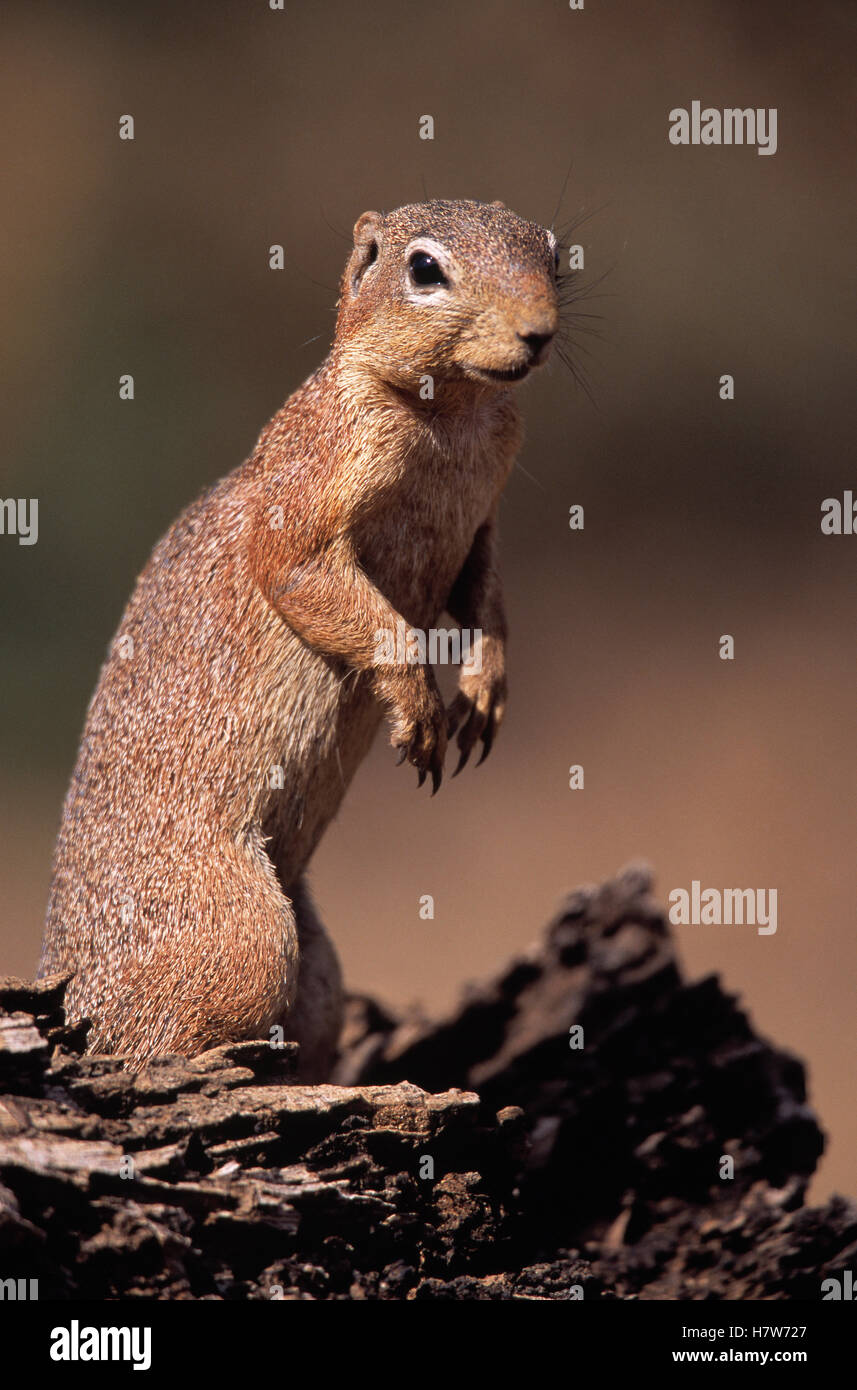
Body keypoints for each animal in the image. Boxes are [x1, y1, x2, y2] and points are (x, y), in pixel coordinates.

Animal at [38, 199, 560, 1079]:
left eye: (554, 255)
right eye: (424, 269)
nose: (540, 332)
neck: (452, 414)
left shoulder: (481, 525)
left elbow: (485, 598)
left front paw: (484, 686)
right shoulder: (309, 491)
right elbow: (308, 578)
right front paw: (419, 703)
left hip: (315, 974)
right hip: (243, 937)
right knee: (151, 1037)